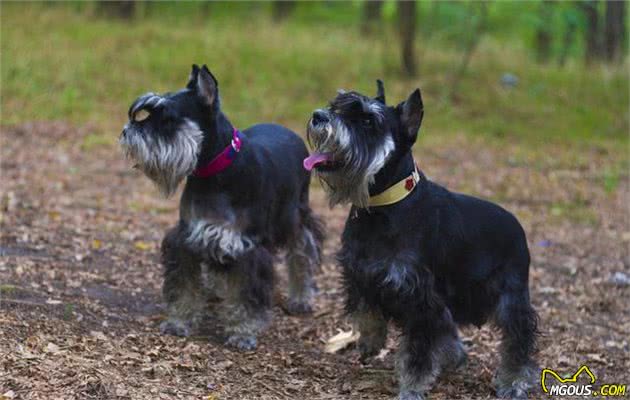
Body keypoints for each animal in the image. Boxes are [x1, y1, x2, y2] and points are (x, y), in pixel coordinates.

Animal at [120, 65, 324, 350]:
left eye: (169, 119)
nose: (127, 131)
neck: (214, 172)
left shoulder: (248, 247)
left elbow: (246, 295)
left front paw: (242, 332)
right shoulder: (188, 237)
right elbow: (183, 286)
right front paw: (178, 321)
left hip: (295, 218)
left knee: (302, 253)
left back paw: (301, 298)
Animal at [306, 82, 540, 400]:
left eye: (368, 121)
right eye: (336, 105)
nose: (319, 116)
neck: (382, 208)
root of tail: (519, 228)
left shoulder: (420, 297)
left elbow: (418, 352)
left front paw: (412, 388)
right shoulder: (360, 273)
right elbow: (368, 312)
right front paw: (370, 342)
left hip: (510, 297)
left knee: (519, 337)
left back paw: (514, 381)